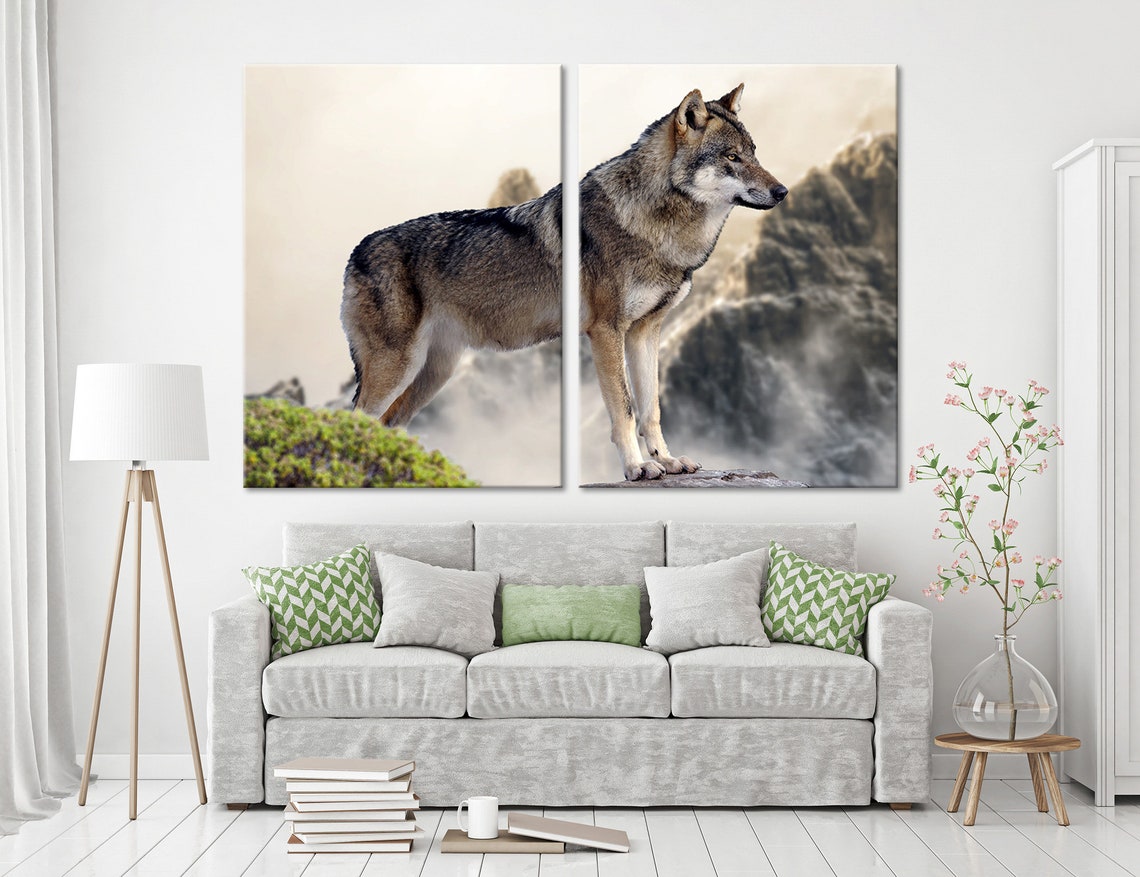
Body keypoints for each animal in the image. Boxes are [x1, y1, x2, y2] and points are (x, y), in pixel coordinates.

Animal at [341, 84, 785, 480]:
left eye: (755, 153)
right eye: (732, 157)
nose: (782, 191)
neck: (654, 224)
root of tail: (354, 252)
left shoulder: (645, 332)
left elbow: (651, 408)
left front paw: (669, 461)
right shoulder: (606, 331)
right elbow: (625, 409)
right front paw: (638, 467)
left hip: (433, 373)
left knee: (386, 426)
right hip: (398, 367)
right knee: (352, 420)